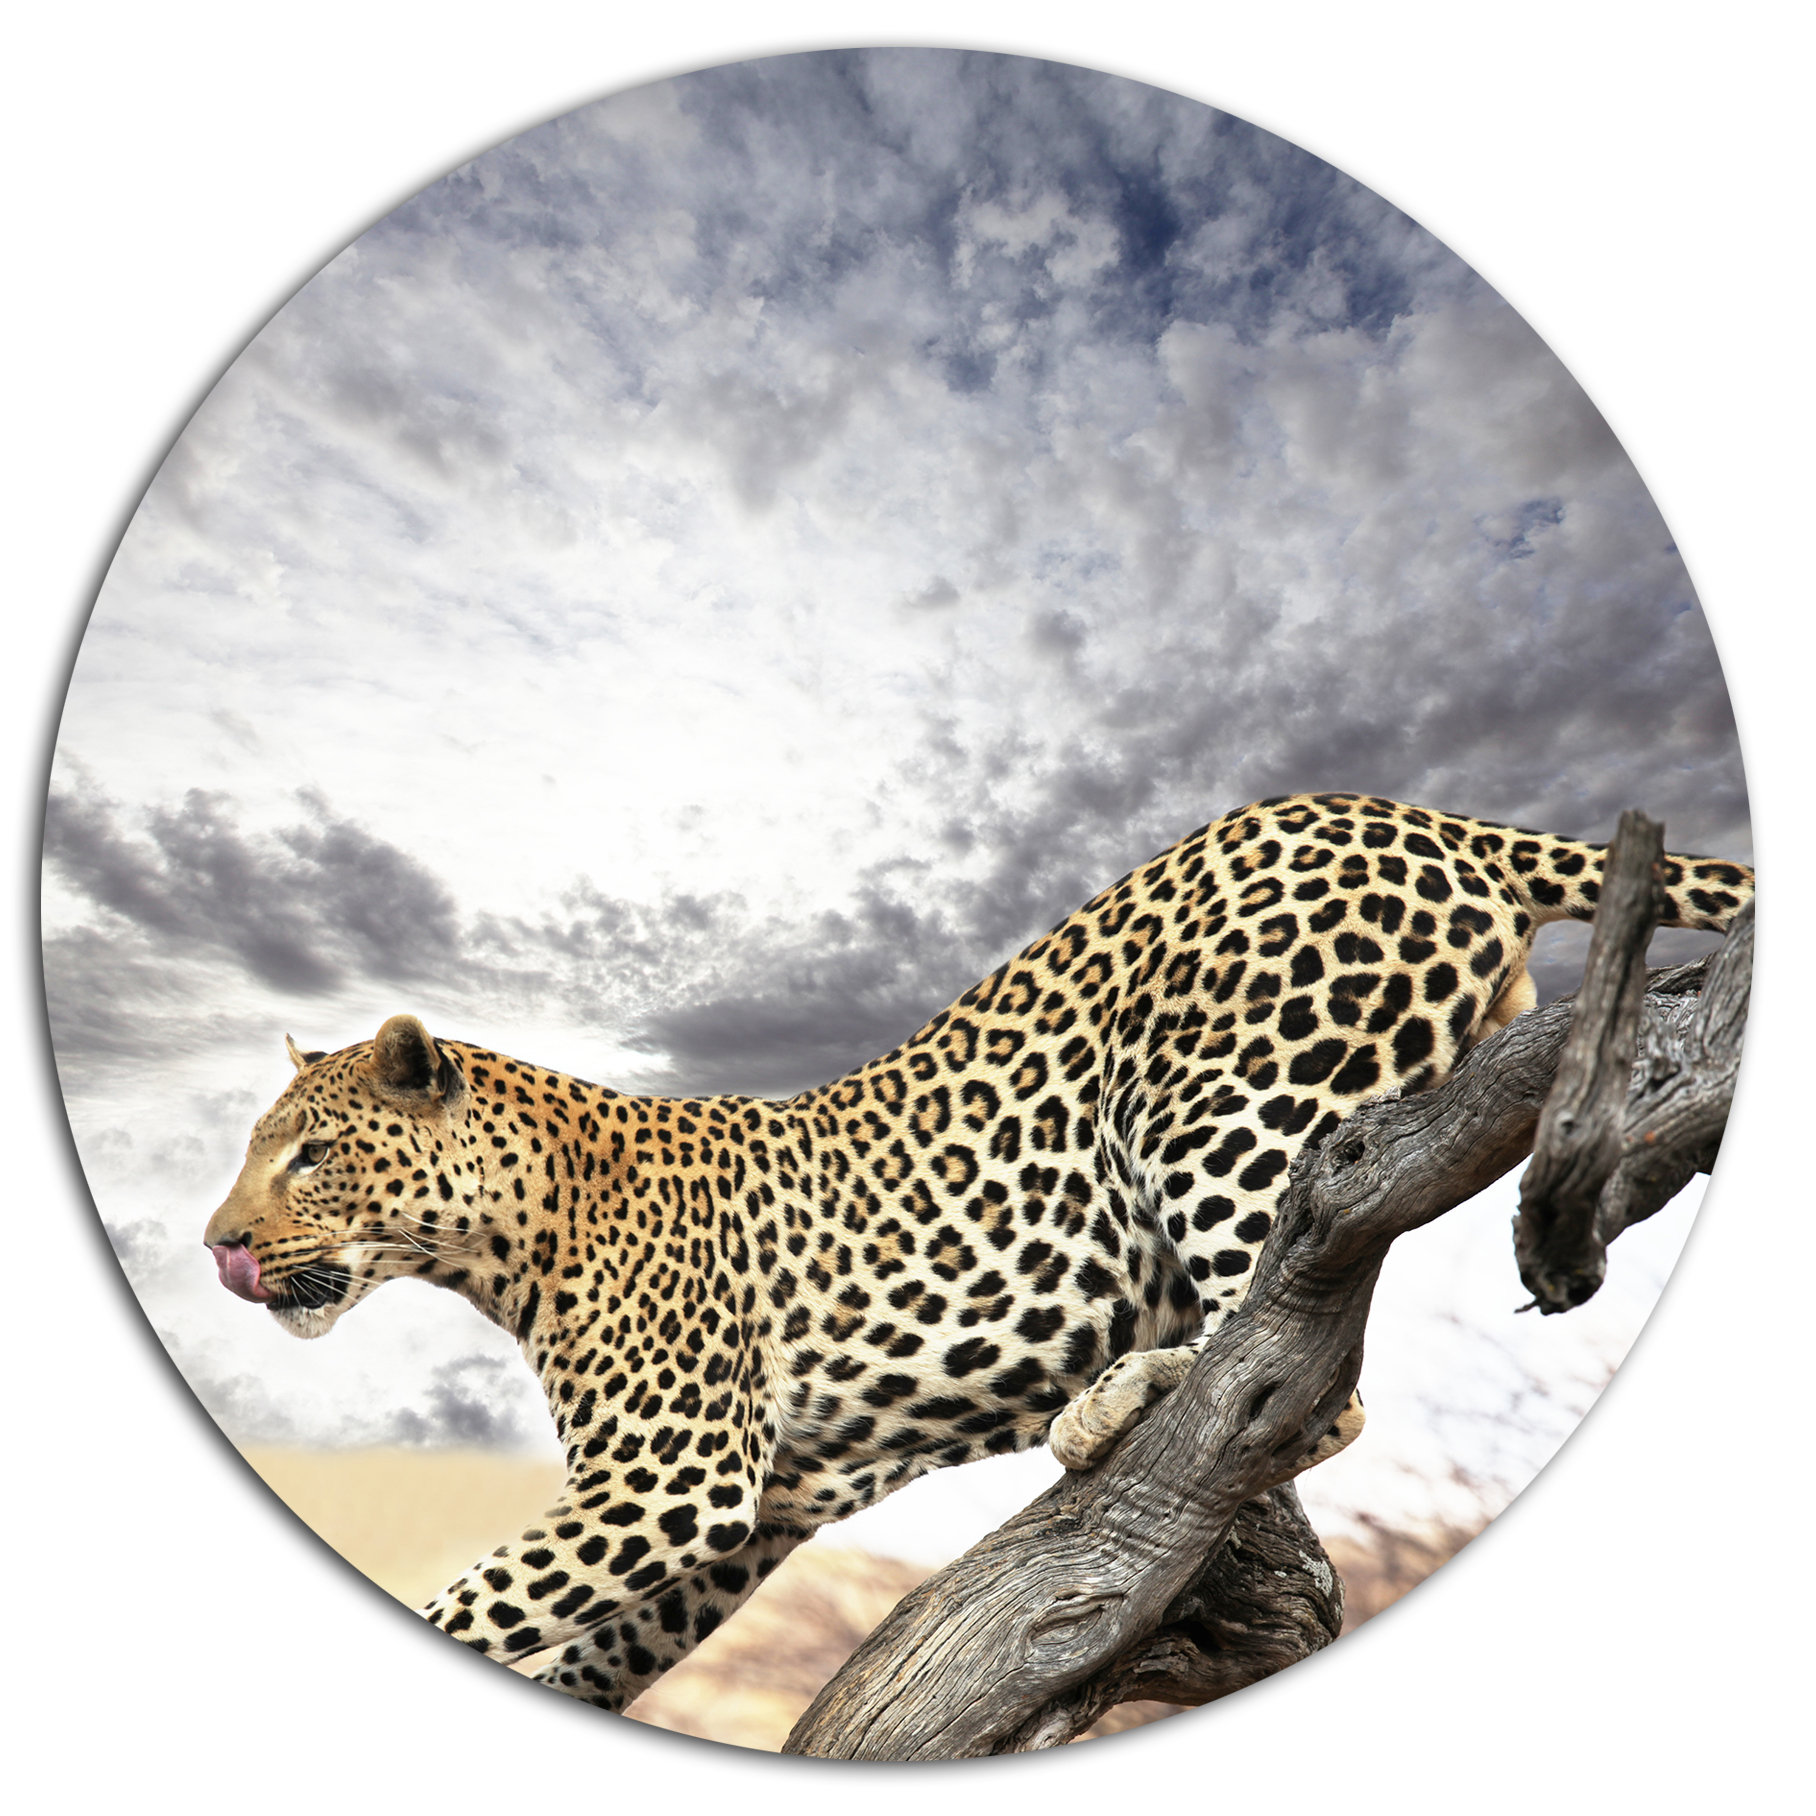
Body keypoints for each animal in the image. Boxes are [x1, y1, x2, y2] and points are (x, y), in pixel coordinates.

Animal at [204, 791, 1752, 1712]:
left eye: (310, 1153)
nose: (217, 1247)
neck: (501, 1239)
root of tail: (1416, 812)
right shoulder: (748, 1510)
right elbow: (582, 1638)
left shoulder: (672, 1477)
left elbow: (476, 1603)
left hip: (1219, 1107)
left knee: (1310, 1364)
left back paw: (1121, 1400)